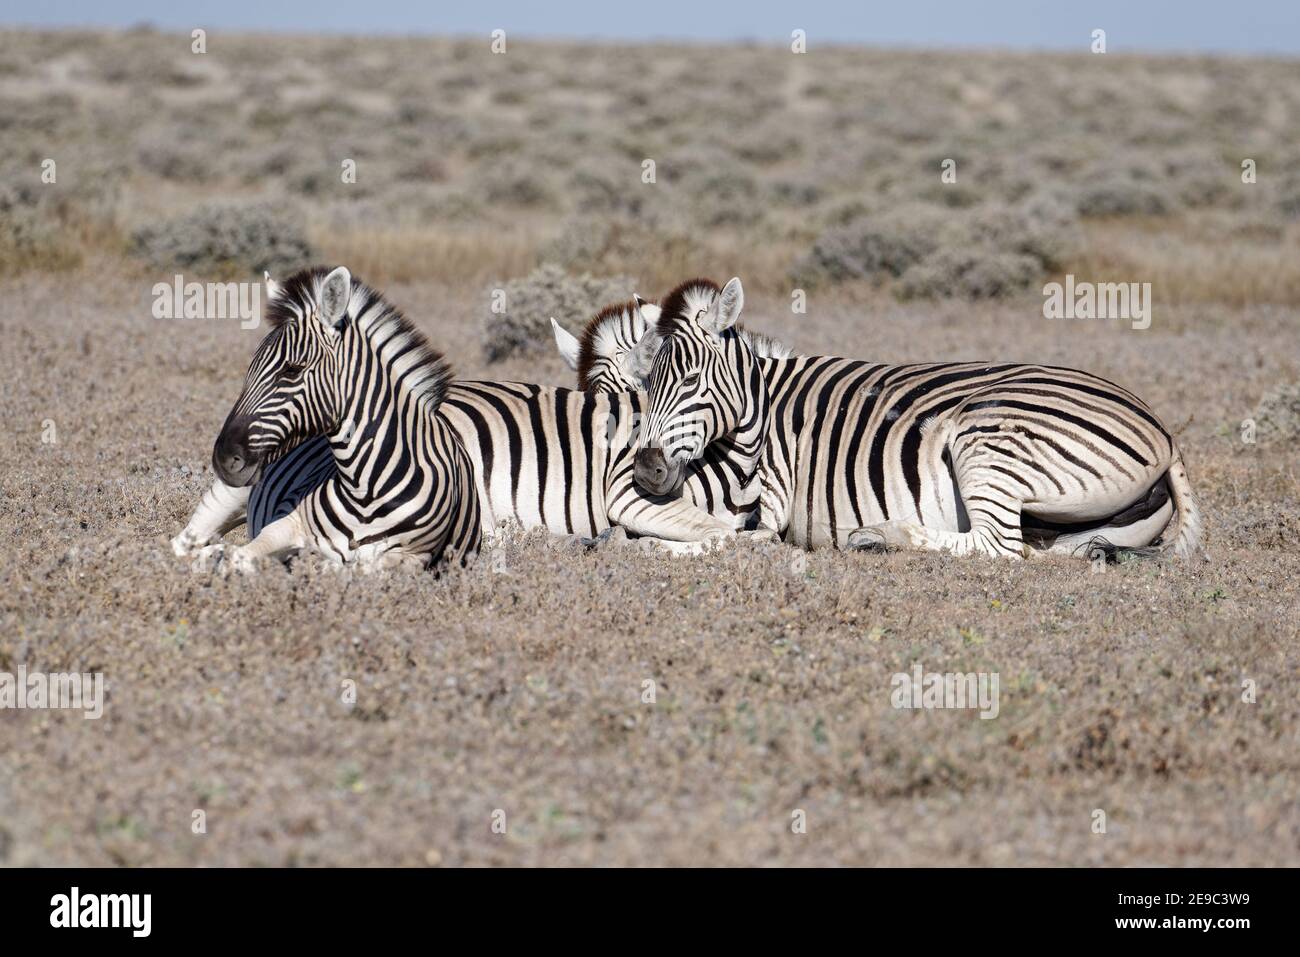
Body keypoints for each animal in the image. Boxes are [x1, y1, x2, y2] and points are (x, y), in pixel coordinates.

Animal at [631, 277, 1202, 561]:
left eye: (690, 381)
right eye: (646, 381)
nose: (646, 470)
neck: (766, 406)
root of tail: (1164, 434)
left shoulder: (774, 506)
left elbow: (727, 536)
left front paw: (653, 546)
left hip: (987, 439)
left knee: (997, 547)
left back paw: (883, 536)